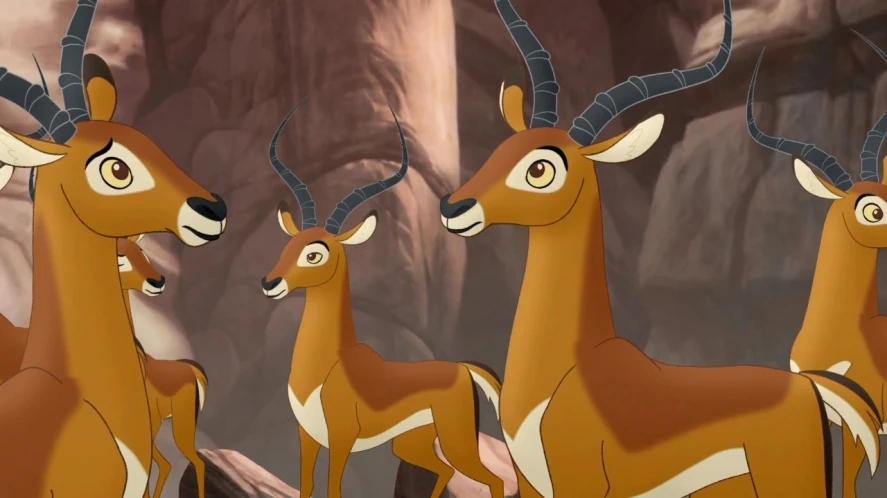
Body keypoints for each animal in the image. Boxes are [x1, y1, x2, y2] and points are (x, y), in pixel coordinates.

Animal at [259, 104, 506, 498]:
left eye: (316, 254)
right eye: (290, 244)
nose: (271, 283)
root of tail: (464, 368)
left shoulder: (342, 438)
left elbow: (334, 487)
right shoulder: (308, 437)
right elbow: (307, 484)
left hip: (456, 440)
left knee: (491, 478)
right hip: (412, 444)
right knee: (445, 471)